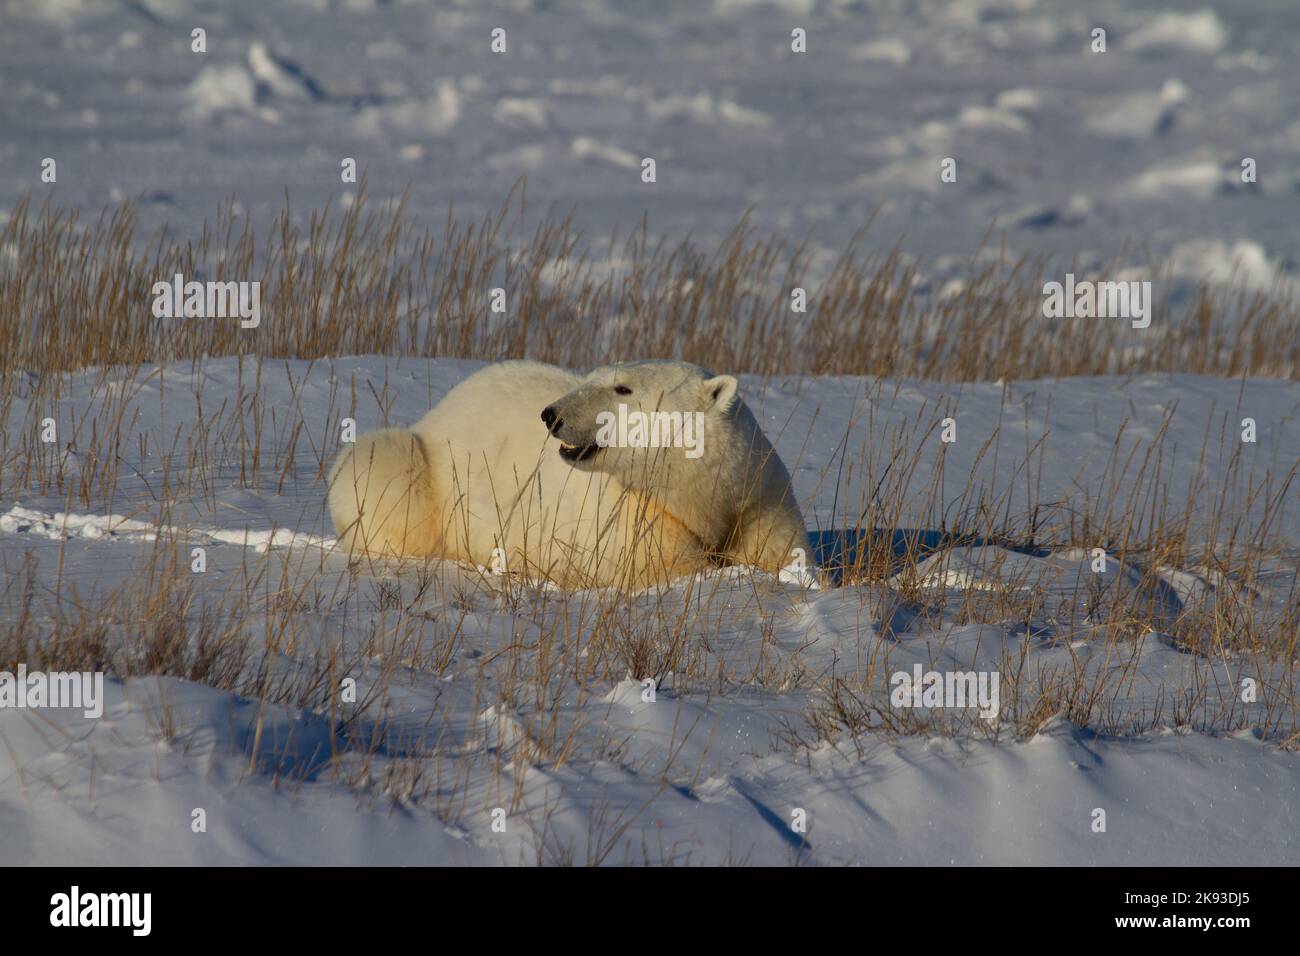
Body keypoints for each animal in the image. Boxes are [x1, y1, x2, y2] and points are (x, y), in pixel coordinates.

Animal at [327, 359, 807, 589]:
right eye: (592, 377)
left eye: (622, 387)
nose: (551, 414)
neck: (705, 495)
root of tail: (439, 409)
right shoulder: (627, 516)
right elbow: (662, 568)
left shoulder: (760, 498)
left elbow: (782, 555)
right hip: (429, 471)